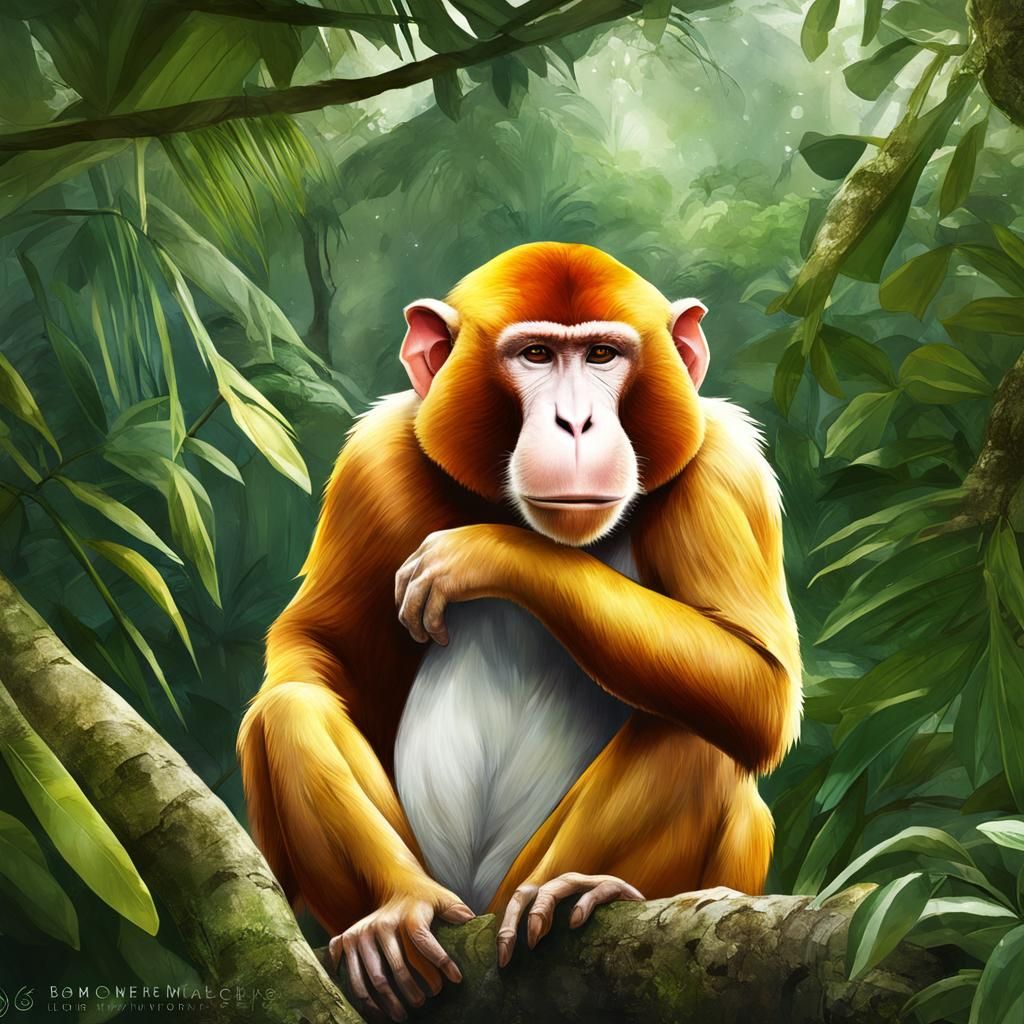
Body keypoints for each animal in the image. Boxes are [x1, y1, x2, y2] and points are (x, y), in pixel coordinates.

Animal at [237, 243, 801, 1022]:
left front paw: (493, 554)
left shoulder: (724, 465)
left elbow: (758, 685)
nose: (575, 423)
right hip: (448, 898)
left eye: (601, 354)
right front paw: (392, 903)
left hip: (516, 887)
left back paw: (582, 886)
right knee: (289, 708)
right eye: (535, 354)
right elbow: (318, 654)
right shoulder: (374, 460)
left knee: (705, 732)